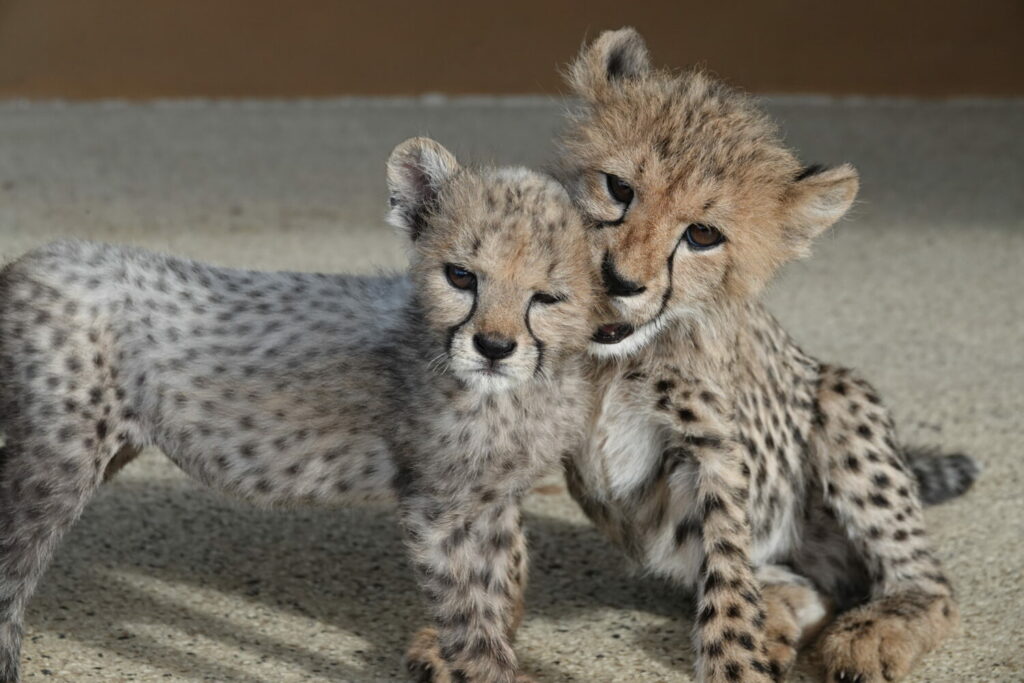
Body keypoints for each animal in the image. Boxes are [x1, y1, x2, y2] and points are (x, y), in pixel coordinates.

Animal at [0, 137, 597, 683]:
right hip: (62, 461)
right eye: (461, 276)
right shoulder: (440, 511)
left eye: (548, 297)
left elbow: (502, 585)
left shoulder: (493, 502)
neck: (522, 390)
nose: (494, 348)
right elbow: (471, 617)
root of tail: (36, 258)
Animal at [548, 28, 980, 683]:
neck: (615, 359)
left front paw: (733, 659)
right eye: (619, 188)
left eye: (702, 235)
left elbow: (727, 558)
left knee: (926, 583)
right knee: (807, 587)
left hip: (842, 398)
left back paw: (867, 635)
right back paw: (779, 617)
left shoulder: (715, 447)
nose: (620, 281)